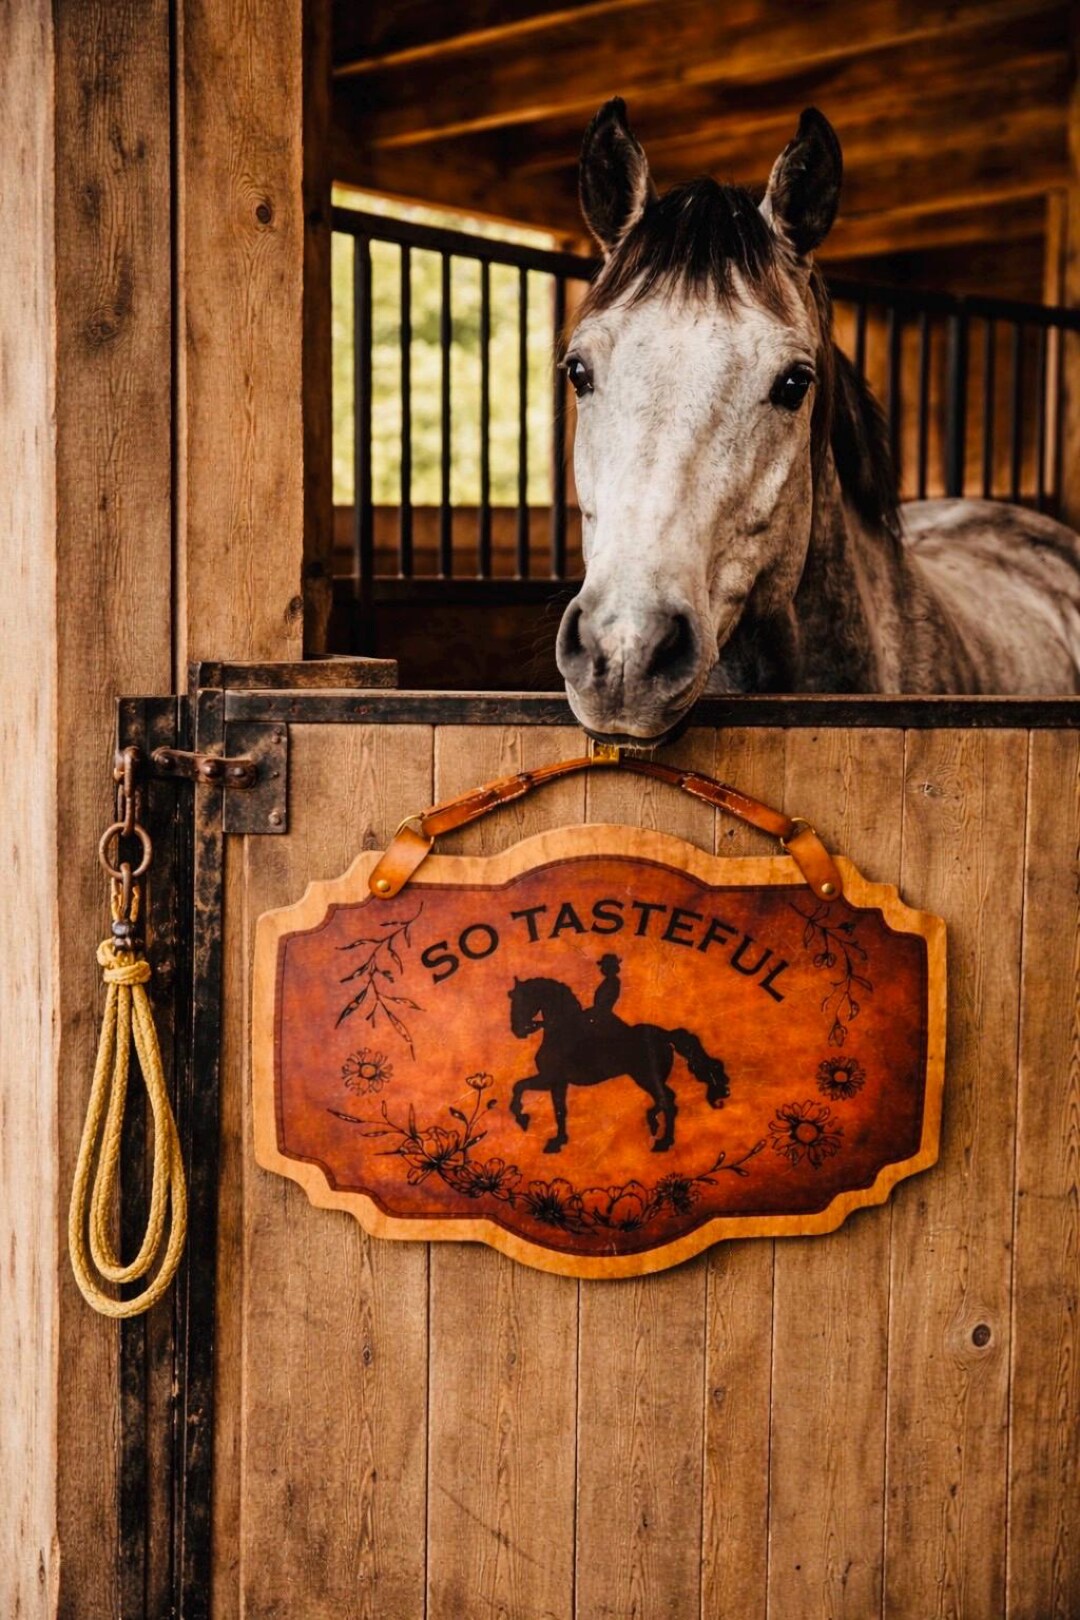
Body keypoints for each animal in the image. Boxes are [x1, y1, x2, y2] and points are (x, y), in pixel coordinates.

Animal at [507, 957, 730, 1154]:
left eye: (520, 1002)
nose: (518, 1031)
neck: (562, 1030)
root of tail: (665, 1035)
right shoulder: (556, 1082)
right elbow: (552, 1106)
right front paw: (554, 1139)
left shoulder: (551, 1078)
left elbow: (525, 1090)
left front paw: (527, 1122)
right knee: (667, 1099)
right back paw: (656, 1127)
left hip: (646, 1077)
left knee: (667, 1100)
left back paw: (661, 1139)